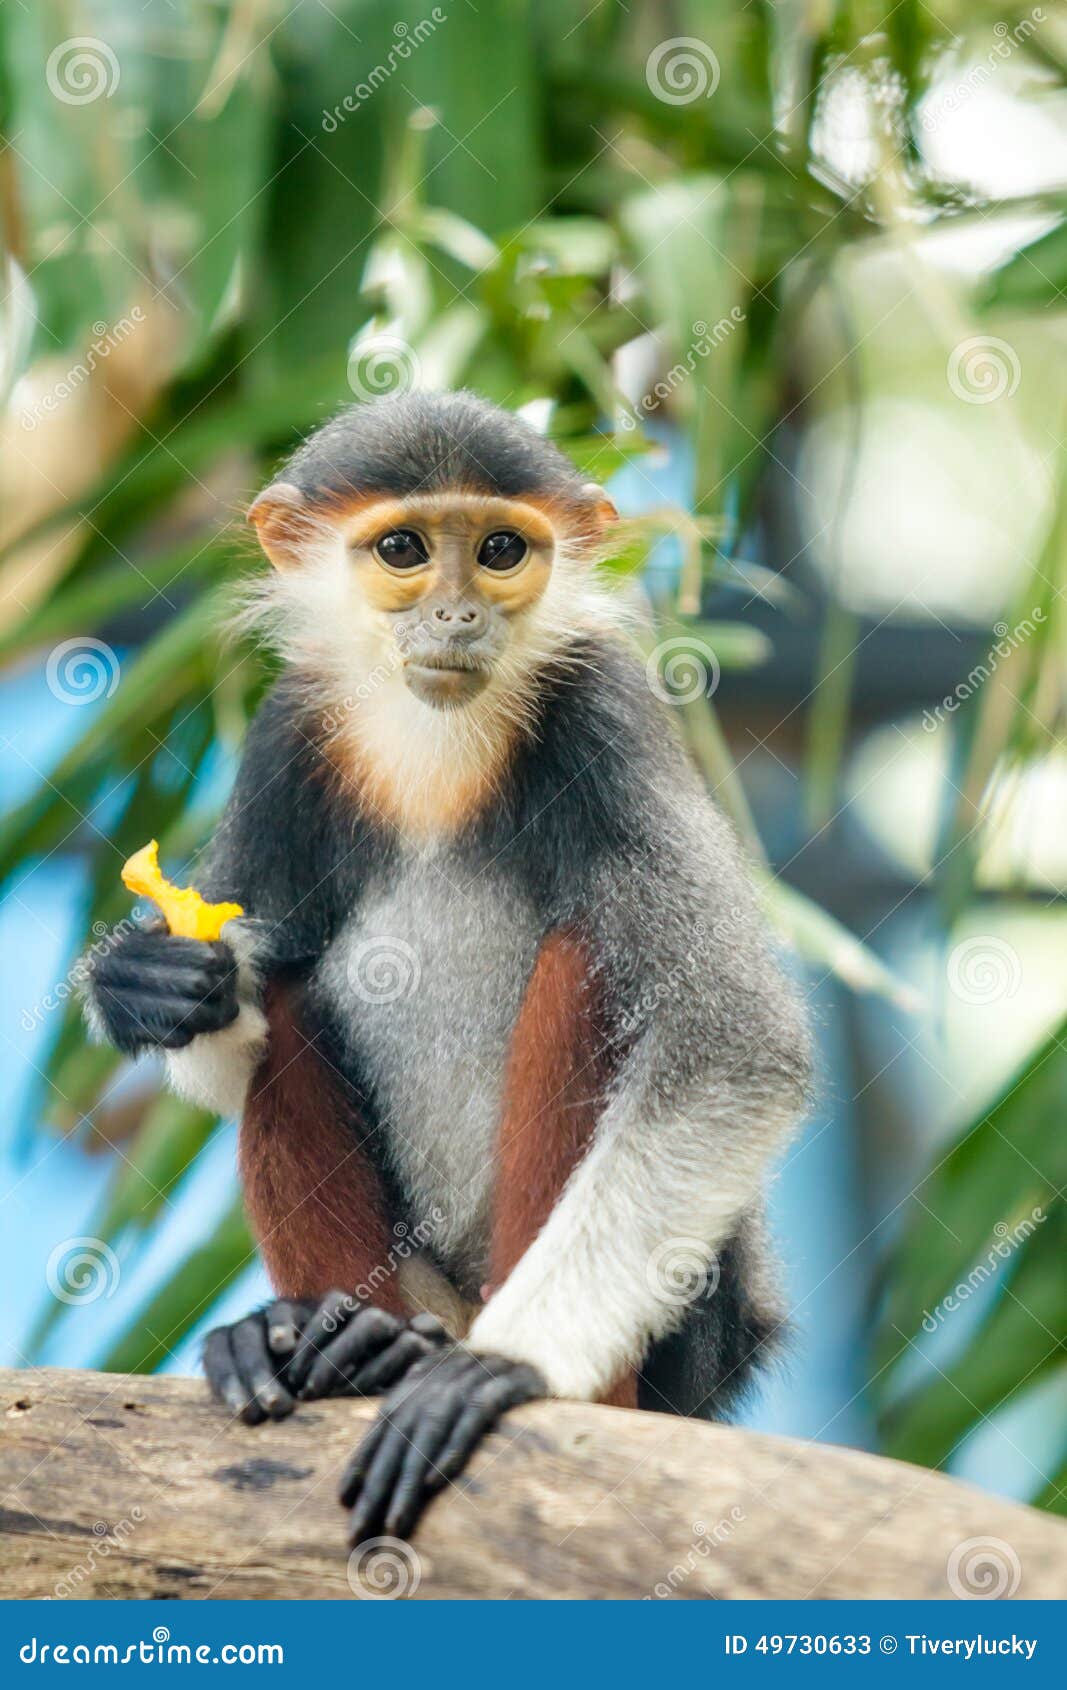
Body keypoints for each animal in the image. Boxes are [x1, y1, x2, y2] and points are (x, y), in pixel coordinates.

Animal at [85, 390, 812, 1543]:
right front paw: (148, 985)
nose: (459, 617)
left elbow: (735, 1047)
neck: (438, 745)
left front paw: (513, 1367)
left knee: (590, 959)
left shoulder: (605, 715)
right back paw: (338, 1342)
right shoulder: (290, 732)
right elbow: (232, 1025)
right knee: (292, 989)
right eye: (404, 551)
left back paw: (460, 1364)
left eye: (501, 550)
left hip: (688, 1341)